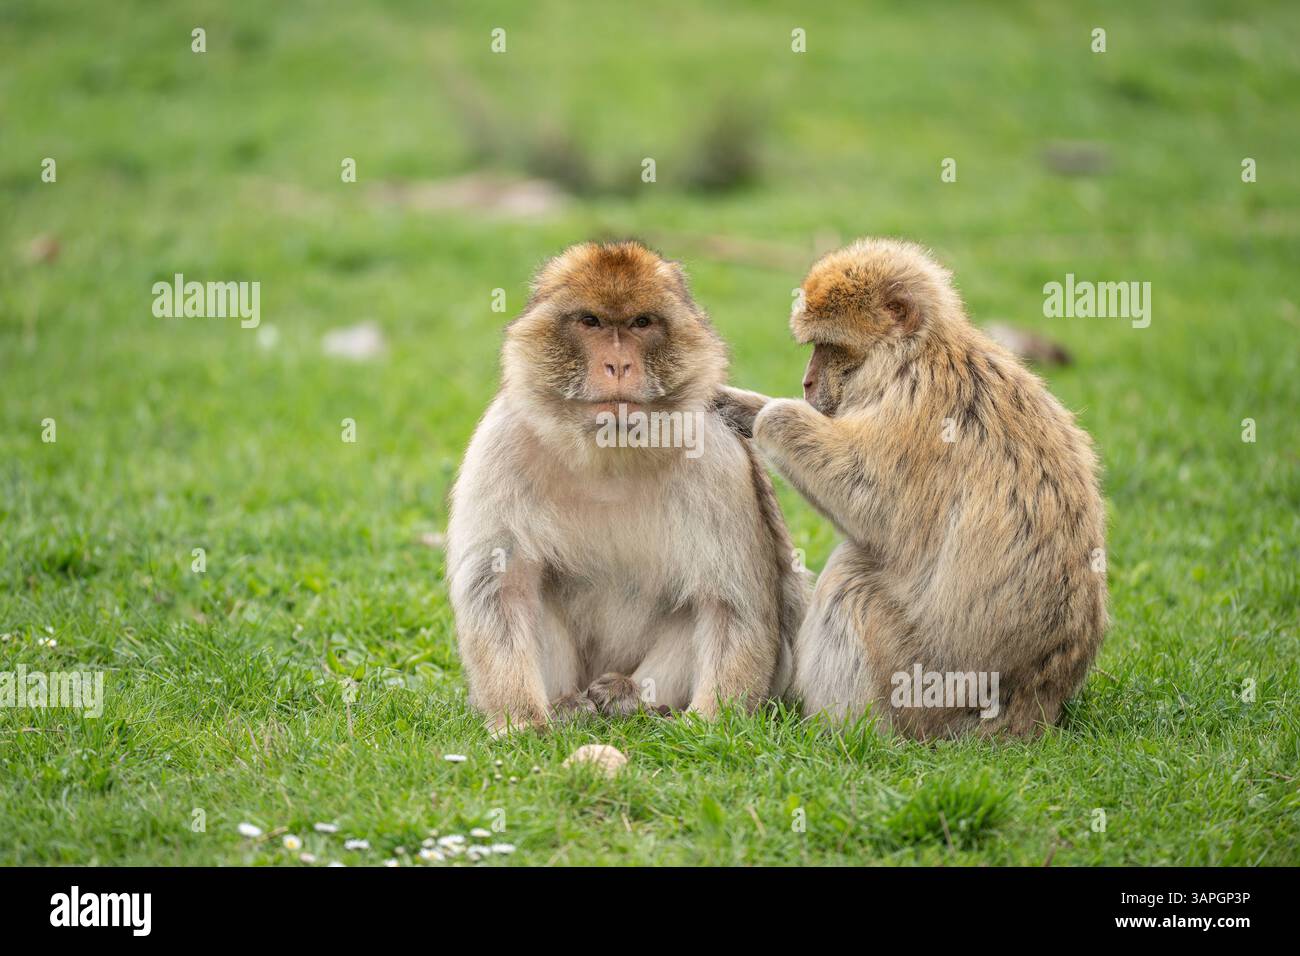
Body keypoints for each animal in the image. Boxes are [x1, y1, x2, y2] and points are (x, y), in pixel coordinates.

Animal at [446, 240, 809, 734]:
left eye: (641, 323)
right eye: (591, 322)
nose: (617, 364)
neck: (610, 456)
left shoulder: (717, 461)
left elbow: (730, 606)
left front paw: (708, 725)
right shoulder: (500, 445)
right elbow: (501, 588)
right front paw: (522, 720)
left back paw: (631, 698)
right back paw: (567, 705)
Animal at [714, 238, 1106, 739]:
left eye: (829, 346)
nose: (805, 382)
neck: (916, 353)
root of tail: (1035, 704)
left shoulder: (917, 405)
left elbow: (875, 505)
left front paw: (773, 415)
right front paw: (735, 405)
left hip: (927, 682)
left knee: (851, 581)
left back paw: (847, 732)